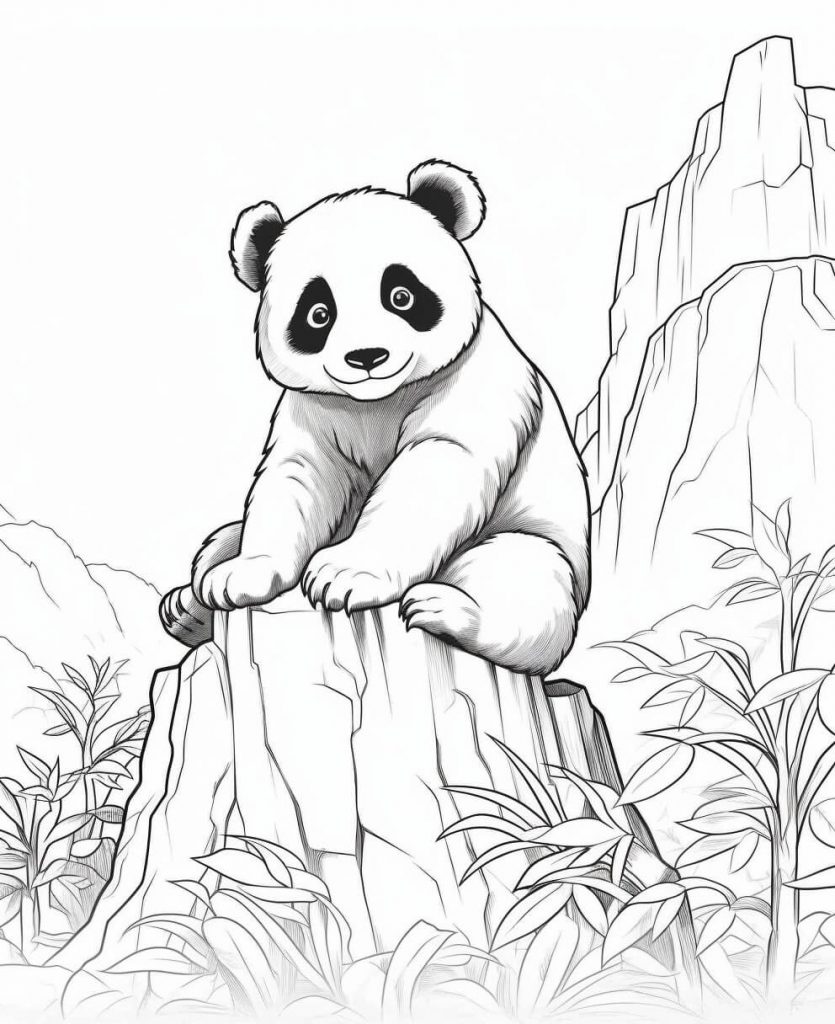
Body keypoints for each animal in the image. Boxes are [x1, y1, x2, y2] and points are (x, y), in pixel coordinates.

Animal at [161, 160, 590, 677]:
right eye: (318, 313)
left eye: (401, 295)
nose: (367, 356)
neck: (376, 401)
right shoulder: (316, 409)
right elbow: (296, 479)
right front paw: (243, 574)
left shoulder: (476, 382)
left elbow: (435, 469)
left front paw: (343, 575)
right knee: (220, 540)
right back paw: (188, 606)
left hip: (529, 542)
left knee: (522, 575)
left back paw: (448, 610)